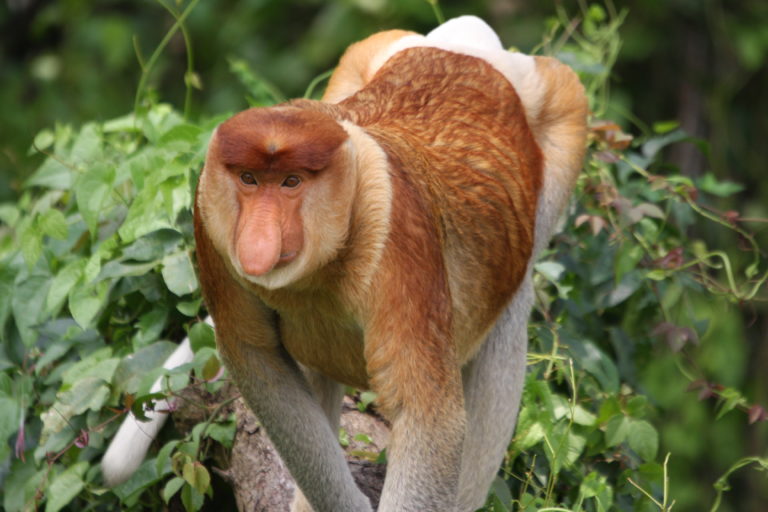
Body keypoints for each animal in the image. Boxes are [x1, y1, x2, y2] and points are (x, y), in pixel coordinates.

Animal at [104, 15, 587, 511]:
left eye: (291, 182)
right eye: (249, 179)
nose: (257, 240)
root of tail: (467, 50)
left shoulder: (398, 241)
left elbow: (425, 416)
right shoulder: (211, 229)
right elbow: (260, 360)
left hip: (561, 110)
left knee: (509, 310)